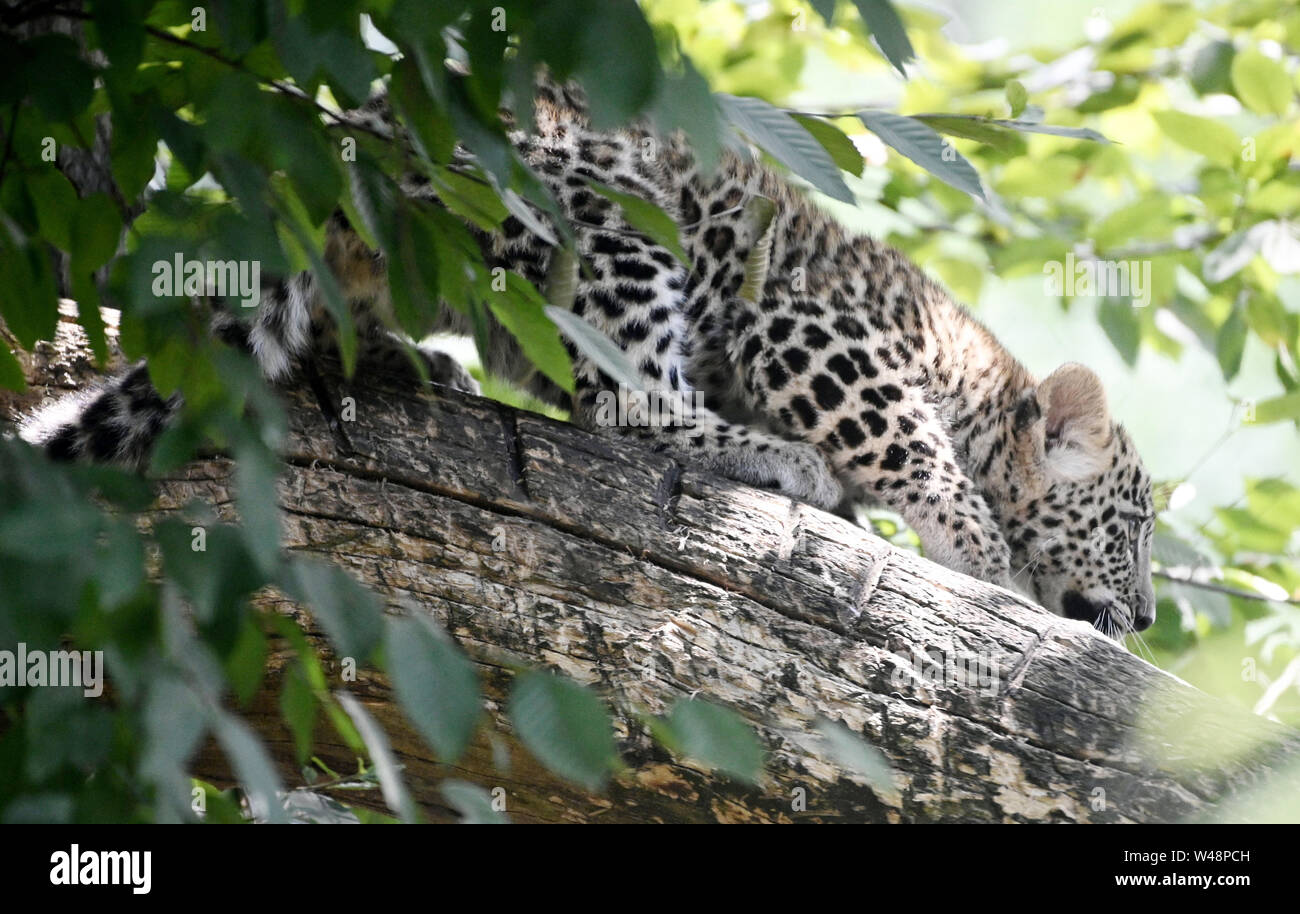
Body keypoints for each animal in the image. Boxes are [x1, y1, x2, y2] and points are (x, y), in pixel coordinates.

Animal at [17, 76, 1157, 639]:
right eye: (1135, 526)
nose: (1146, 615)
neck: (982, 388)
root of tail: (367, 129)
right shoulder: (810, 328)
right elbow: (911, 446)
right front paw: (986, 553)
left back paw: (406, 362)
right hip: (607, 216)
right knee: (633, 407)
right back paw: (770, 456)